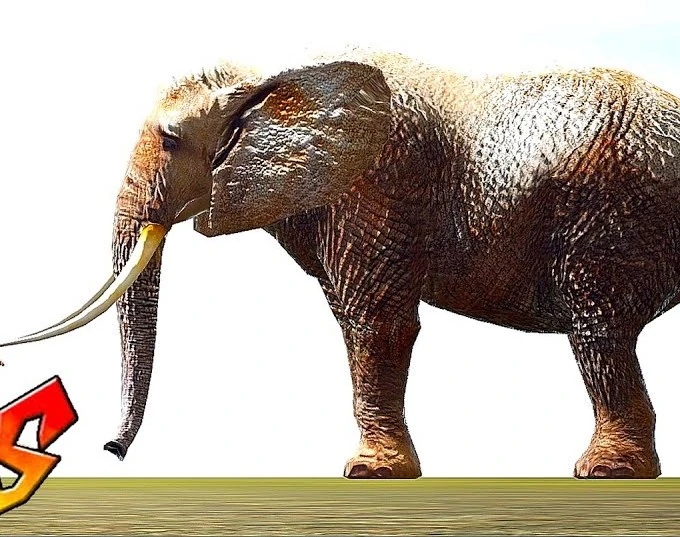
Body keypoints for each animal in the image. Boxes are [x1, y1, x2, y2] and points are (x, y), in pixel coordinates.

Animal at [2, 50, 680, 479]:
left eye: (171, 140)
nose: (110, 448)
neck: (273, 79)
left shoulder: (375, 187)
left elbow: (378, 323)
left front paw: (368, 474)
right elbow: (360, 321)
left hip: (610, 218)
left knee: (597, 331)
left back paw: (607, 474)